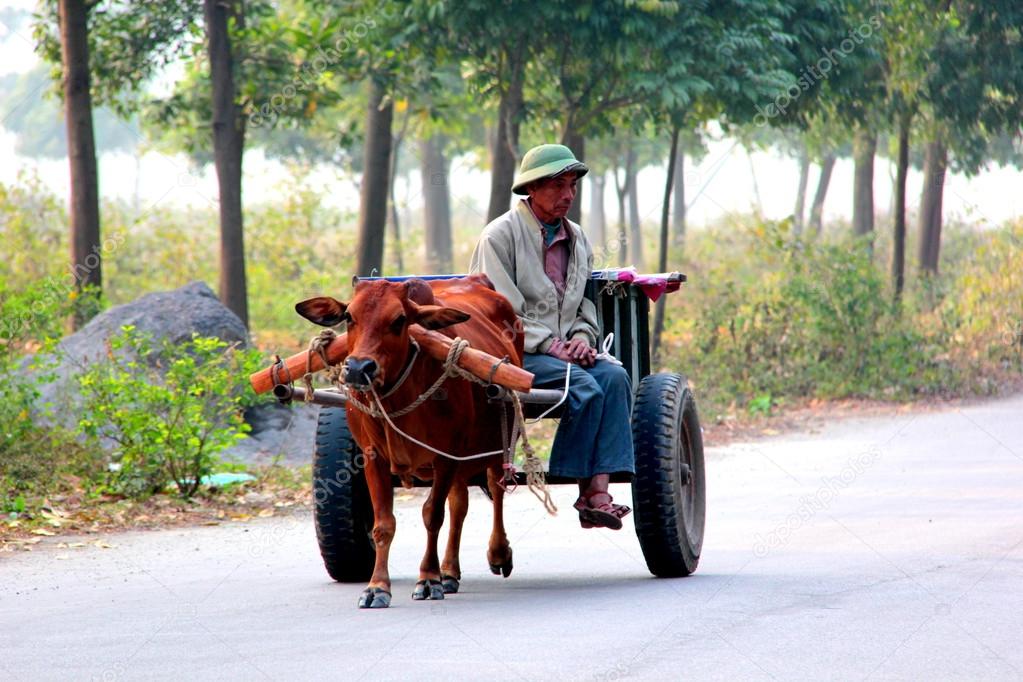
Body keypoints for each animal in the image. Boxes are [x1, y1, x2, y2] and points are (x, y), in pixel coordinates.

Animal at [295, 274, 524, 608]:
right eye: (349, 316)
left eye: (399, 320)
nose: (359, 368)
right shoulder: (373, 456)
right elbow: (383, 524)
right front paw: (377, 587)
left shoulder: (445, 456)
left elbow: (433, 515)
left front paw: (428, 579)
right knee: (460, 503)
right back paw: (450, 571)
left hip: (496, 440)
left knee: (495, 487)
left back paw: (497, 553)